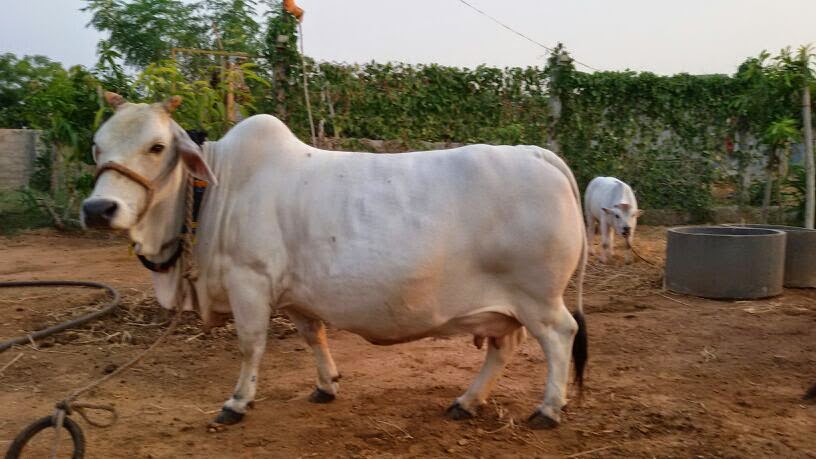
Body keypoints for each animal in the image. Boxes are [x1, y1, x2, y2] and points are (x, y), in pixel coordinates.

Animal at [81, 92, 588, 430]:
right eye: (96, 146)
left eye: (157, 147)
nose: (98, 209)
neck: (214, 194)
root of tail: (536, 154)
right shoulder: (295, 296)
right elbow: (314, 335)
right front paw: (327, 384)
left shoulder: (250, 282)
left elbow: (250, 346)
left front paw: (237, 402)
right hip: (507, 305)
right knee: (505, 346)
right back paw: (467, 401)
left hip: (538, 297)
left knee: (560, 336)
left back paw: (548, 409)